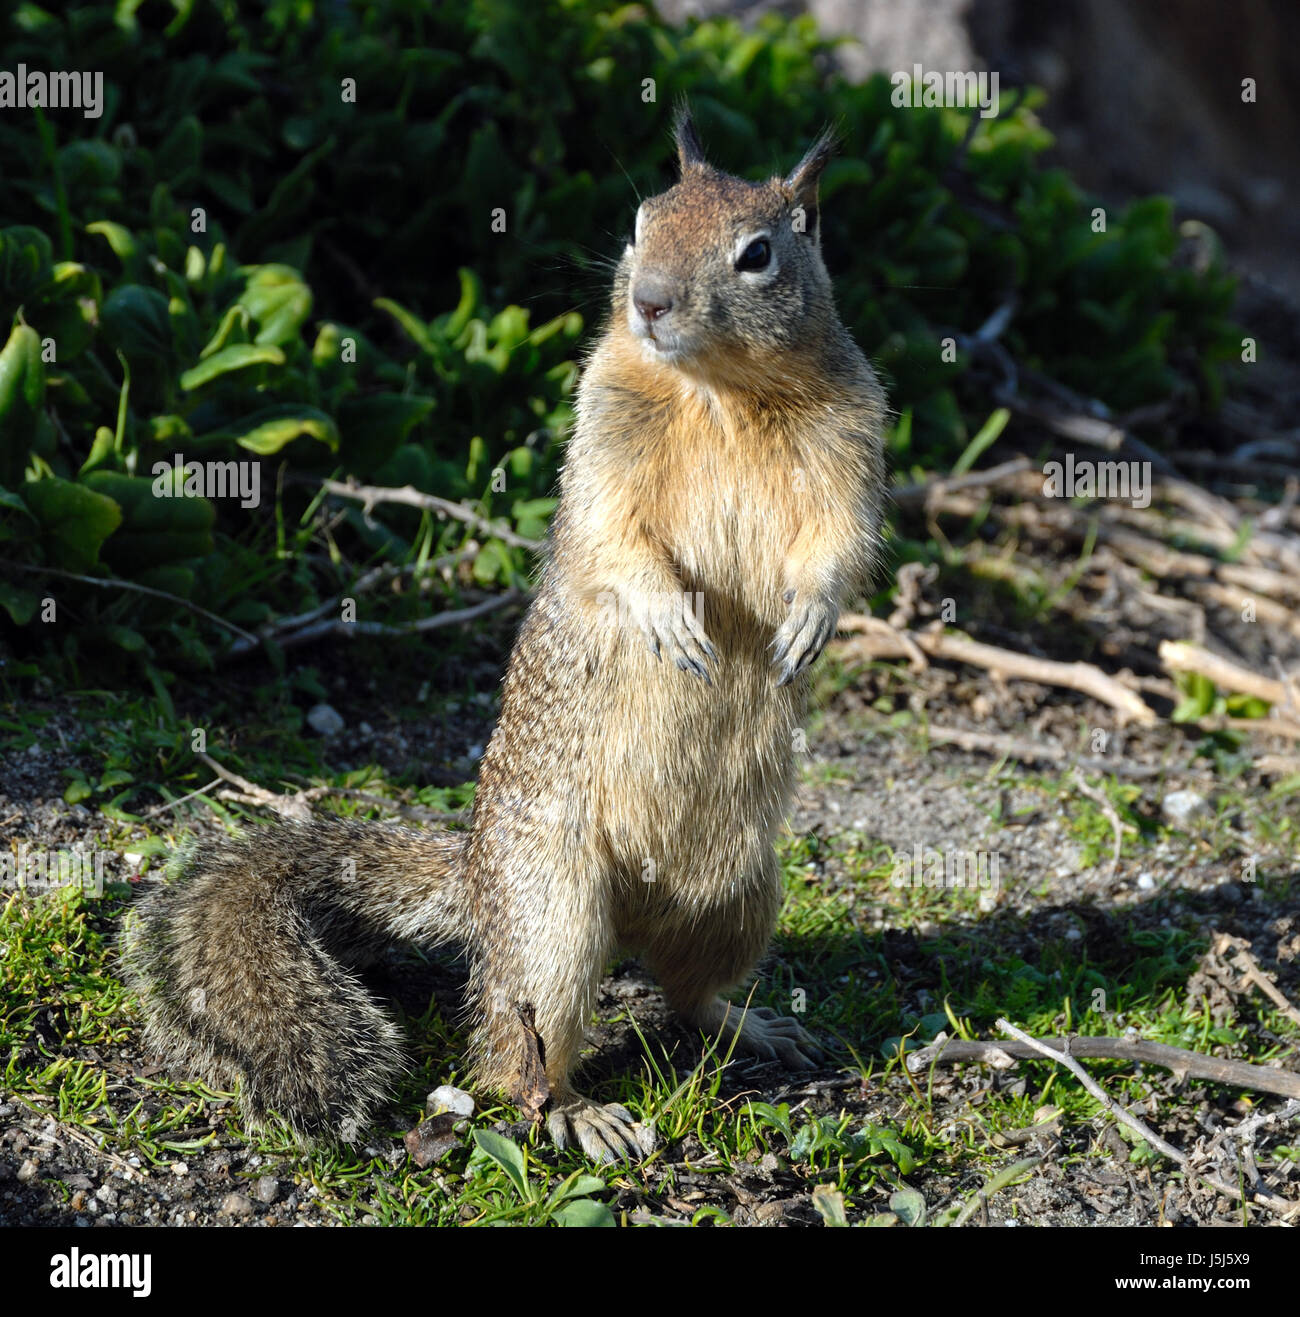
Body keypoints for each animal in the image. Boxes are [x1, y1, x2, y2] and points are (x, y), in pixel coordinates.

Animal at [121, 108, 887, 1164]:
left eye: (758, 253)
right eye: (642, 221)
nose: (648, 301)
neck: (717, 392)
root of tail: (477, 873)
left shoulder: (852, 446)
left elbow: (839, 545)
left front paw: (808, 620)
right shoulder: (599, 447)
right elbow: (613, 540)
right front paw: (671, 619)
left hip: (740, 895)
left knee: (685, 990)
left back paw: (750, 1023)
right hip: (551, 912)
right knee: (509, 1046)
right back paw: (574, 1109)